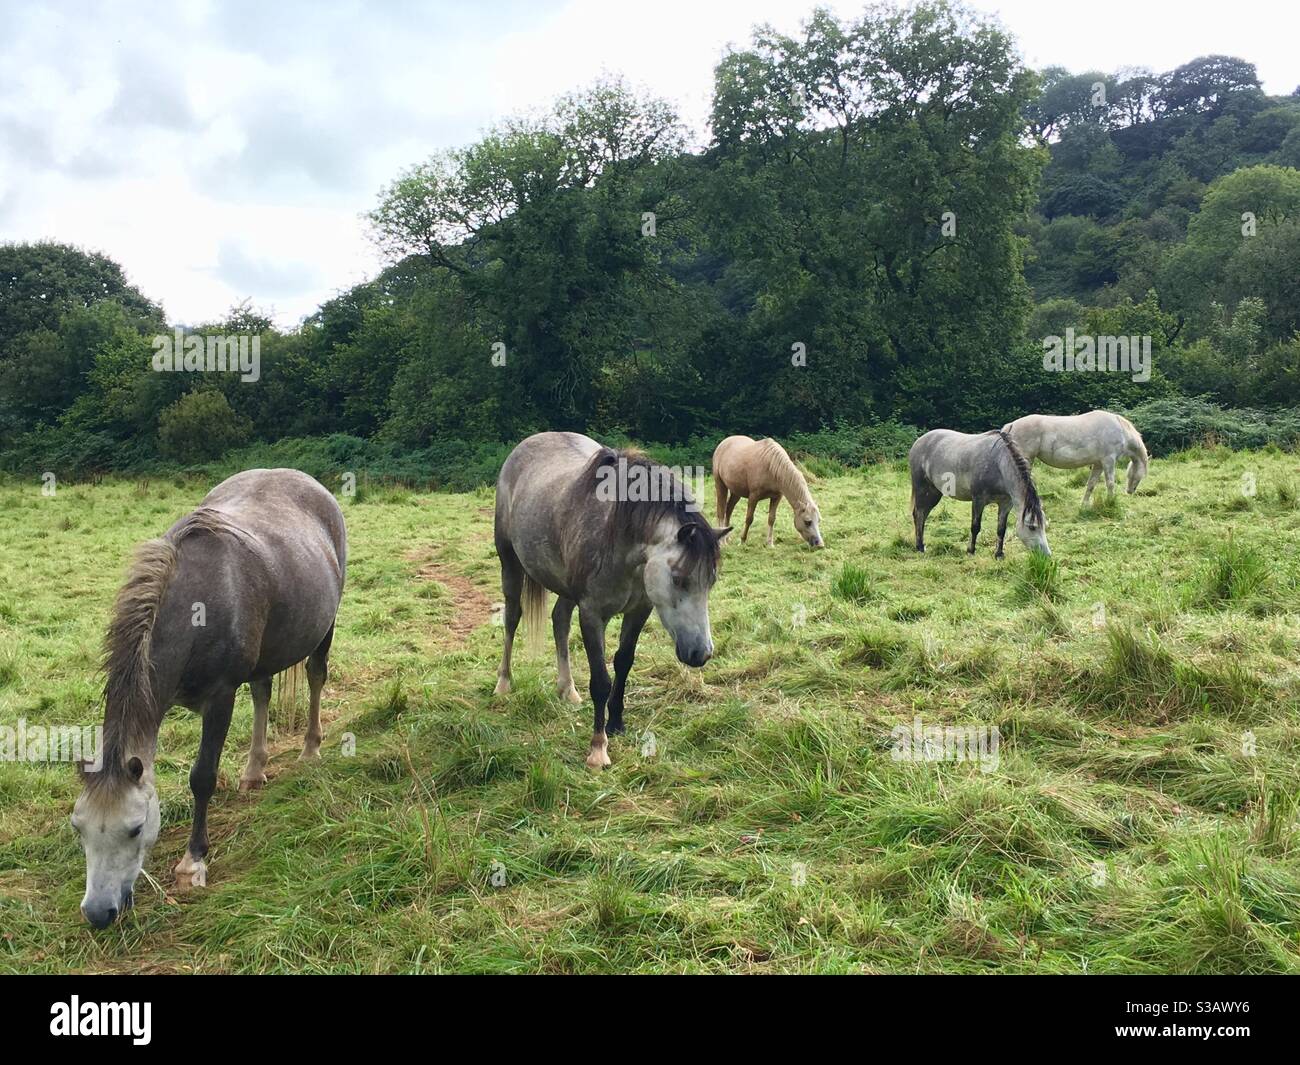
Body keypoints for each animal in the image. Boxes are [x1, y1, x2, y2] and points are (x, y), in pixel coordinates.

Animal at [71, 469, 346, 928]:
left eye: (135, 827)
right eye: (79, 827)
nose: (97, 912)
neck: (194, 606)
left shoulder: (220, 698)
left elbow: (202, 777)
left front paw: (193, 862)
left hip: (325, 627)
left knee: (314, 676)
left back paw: (310, 749)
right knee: (263, 691)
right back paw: (255, 769)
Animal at [494, 432, 730, 769]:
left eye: (711, 581)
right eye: (678, 578)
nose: (702, 654)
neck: (618, 536)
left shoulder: (640, 610)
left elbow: (624, 662)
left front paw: (616, 723)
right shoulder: (592, 614)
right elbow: (601, 680)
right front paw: (597, 748)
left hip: (566, 589)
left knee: (559, 621)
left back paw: (568, 689)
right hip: (509, 562)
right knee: (512, 618)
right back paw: (503, 682)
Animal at [908, 429, 1050, 558]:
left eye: (1044, 526)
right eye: (1032, 527)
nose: (1046, 555)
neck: (998, 464)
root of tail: (919, 441)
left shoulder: (1005, 504)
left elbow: (1001, 529)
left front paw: (999, 554)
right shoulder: (978, 500)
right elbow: (975, 526)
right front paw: (970, 551)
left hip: (934, 493)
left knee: (923, 514)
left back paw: (921, 545)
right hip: (923, 490)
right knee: (919, 514)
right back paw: (919, 546)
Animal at [1002, 410, 1149, 505]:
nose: (1129, 491)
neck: (1121, 430)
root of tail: (1011, 425)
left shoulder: (1098, 464)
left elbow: (1091, 484)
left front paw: (1084, 504)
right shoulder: (1108, 461)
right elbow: (1110, 483)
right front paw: (1111, 501)